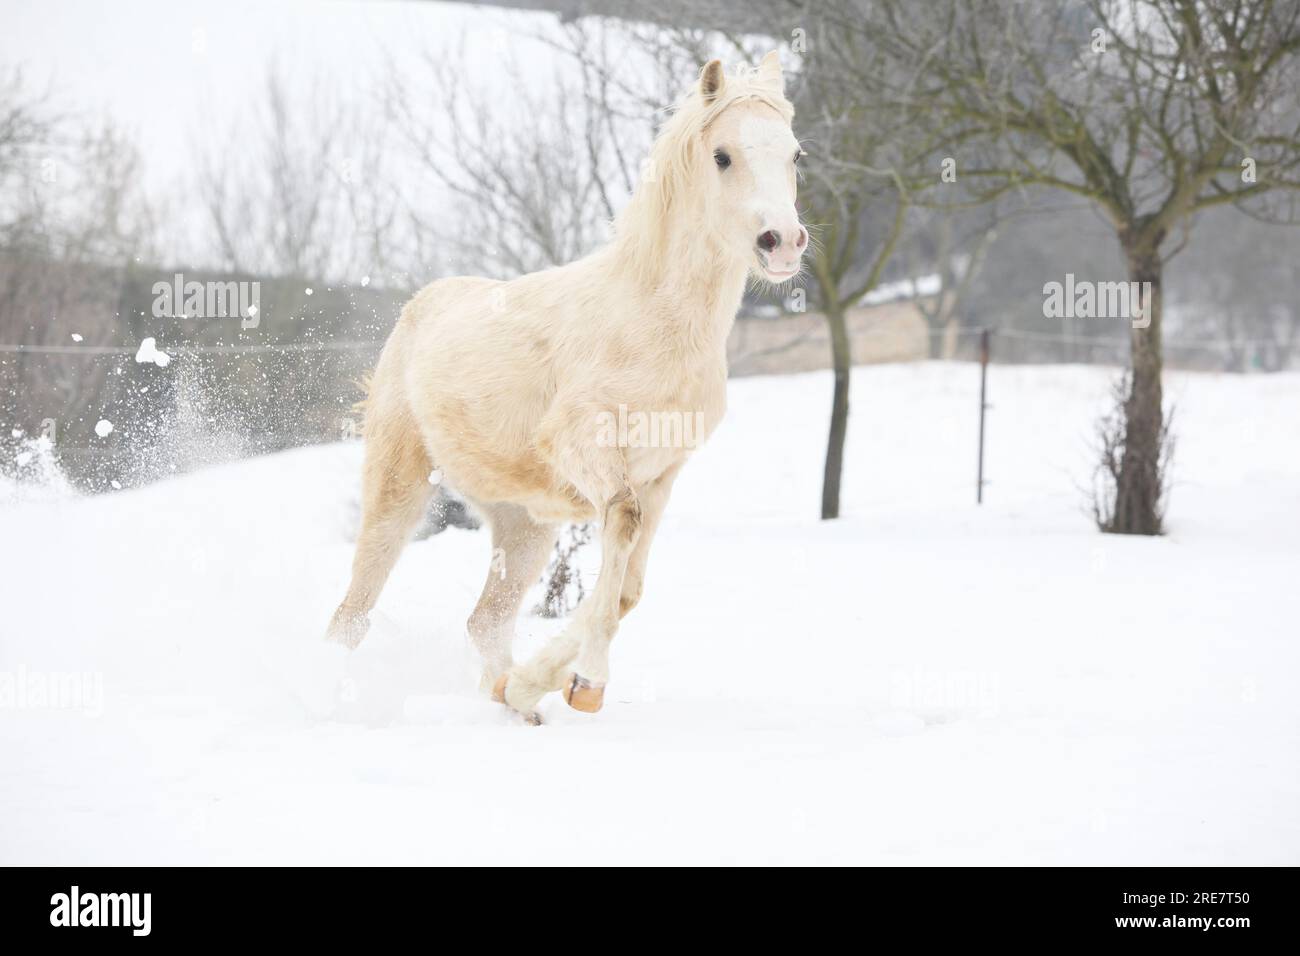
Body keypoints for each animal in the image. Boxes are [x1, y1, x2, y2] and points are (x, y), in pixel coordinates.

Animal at [327, 52, 807, 722]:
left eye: (795, 154)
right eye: (722, 156)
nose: (782, 243)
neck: (650, 321)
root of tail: (420, 305)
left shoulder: (662, 474)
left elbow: (628, 591)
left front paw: (544, 684)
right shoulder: (588, 452)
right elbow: (621, 535)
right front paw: (588, 686)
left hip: (524, 524)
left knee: (485, 620)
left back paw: (513, 703)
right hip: (399, 488)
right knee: (351, 615)